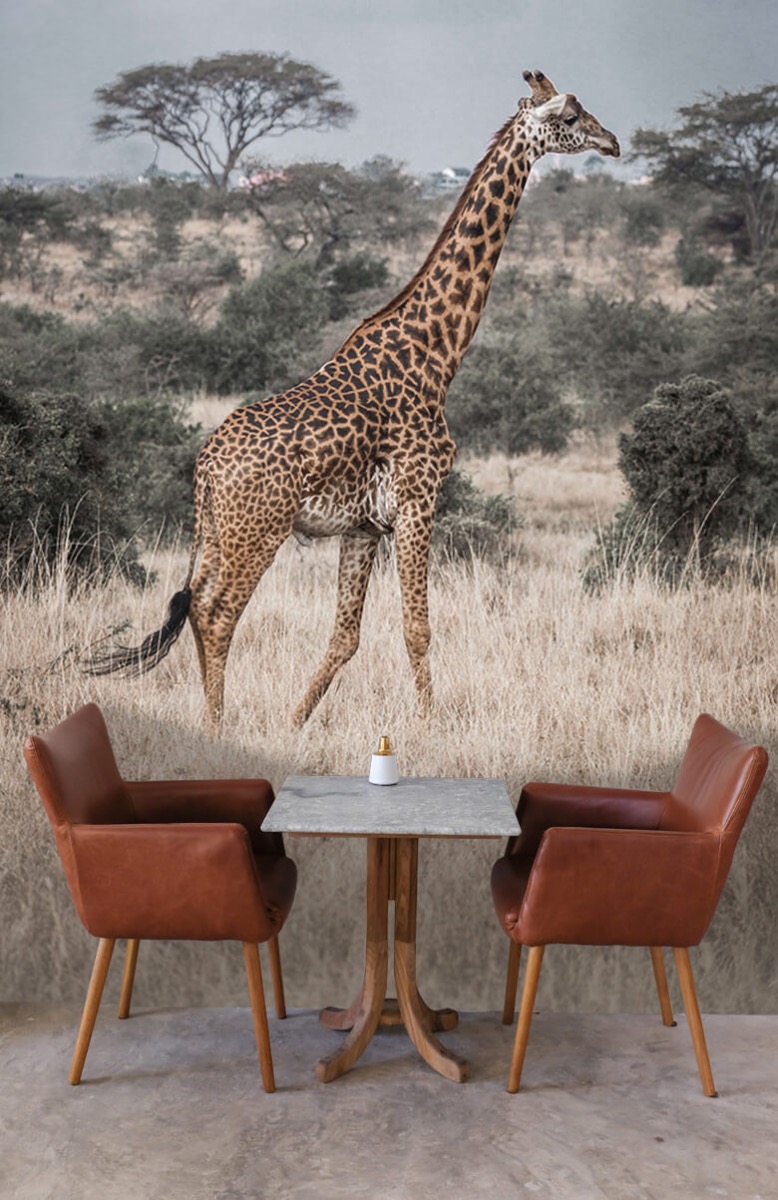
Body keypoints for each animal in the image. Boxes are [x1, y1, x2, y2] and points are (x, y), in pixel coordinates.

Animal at [86, 70, 619, 729]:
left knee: (193, 602)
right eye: (570, 116)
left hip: (216, 531)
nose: (612, 141)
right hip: (257, 531)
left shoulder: (364, 526)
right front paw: (430, 726)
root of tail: (206, 467)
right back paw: (214, 725)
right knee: (215, 611)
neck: (436, 354)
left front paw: (295, 722)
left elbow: (345, 636)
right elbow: (418, 628)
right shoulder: (418, 500)